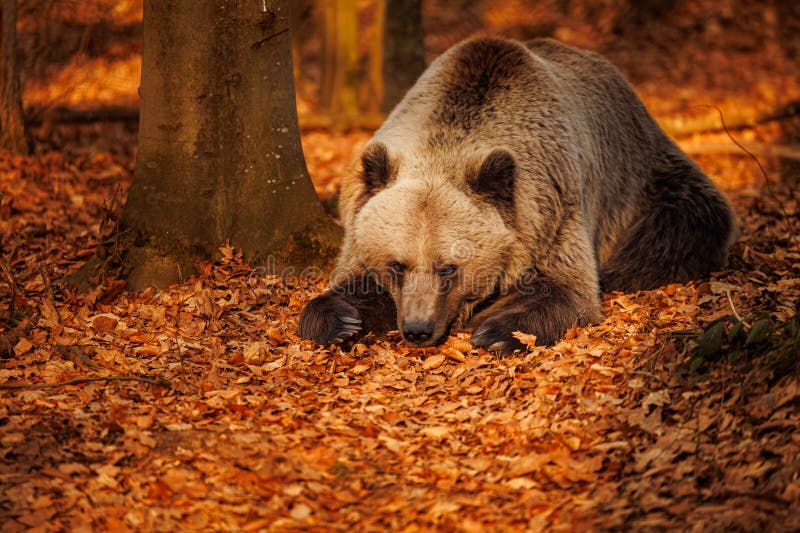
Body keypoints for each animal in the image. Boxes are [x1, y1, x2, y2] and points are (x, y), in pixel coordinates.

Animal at [298, 37, 735, 353]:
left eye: (449, 267)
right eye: (397, 264)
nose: (418, 328)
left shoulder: (556, 206)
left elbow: (569, 289)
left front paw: (494, 330)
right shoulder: (360, 214)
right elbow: (351, 280)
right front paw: (341, 320)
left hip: (642, 172)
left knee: (681, 224)